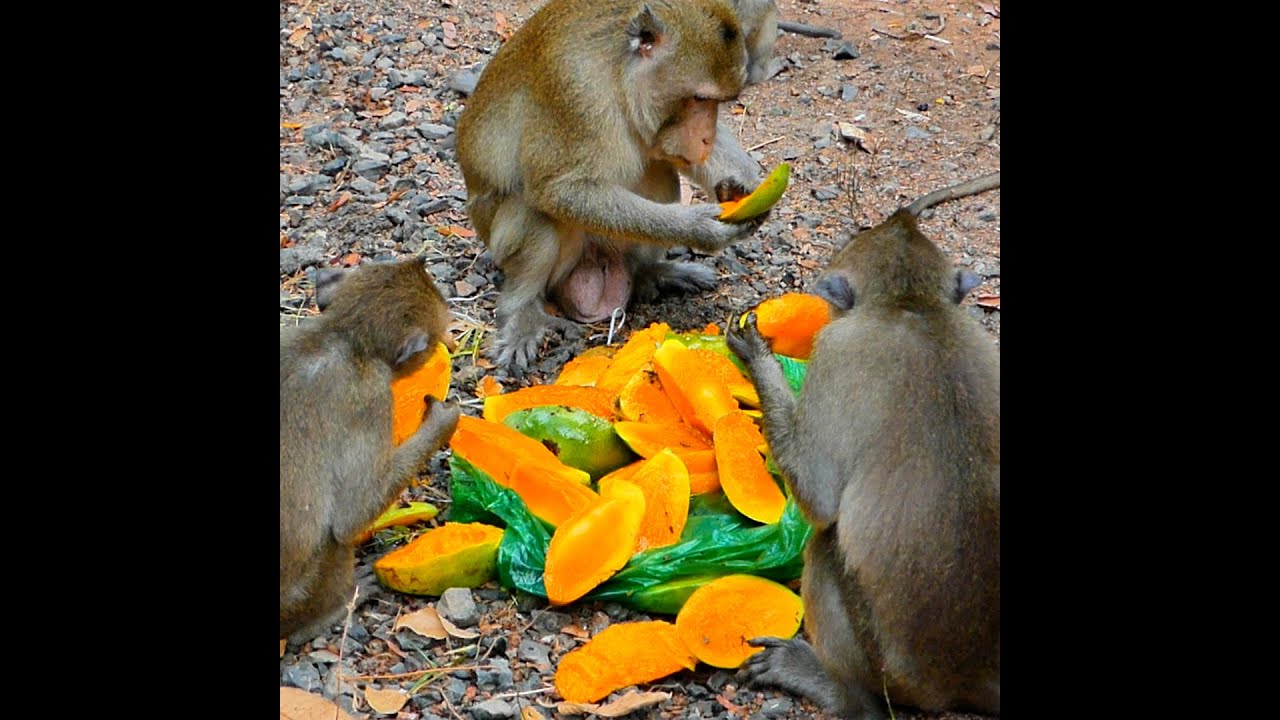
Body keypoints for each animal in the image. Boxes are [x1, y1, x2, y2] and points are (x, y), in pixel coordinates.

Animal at [280, 260, 461, 643]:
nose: (450, 344)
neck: (342, 336)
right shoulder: (373, 398)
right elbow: (352, 515)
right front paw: (442, 423)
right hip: (300, 595)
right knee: (333, 539)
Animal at [456, 0, 769, 372]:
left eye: (716, 103)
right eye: (698, 98)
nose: (705, 137)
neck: (618, 73)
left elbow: (670, 153)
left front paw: (746, 184)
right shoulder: (574, 89)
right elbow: (557, 188)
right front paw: (699, 228)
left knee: (657, 170)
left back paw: (652, 272)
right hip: (513, 249)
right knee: (536, 211)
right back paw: (521, 311)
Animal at [726, 172, 1000, 719]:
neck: (912, 305)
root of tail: (971, 674)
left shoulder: (836, 349)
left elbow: (818, 495)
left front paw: (758, 356)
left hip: (891, 673)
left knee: (826, 546)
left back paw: (831, 686)